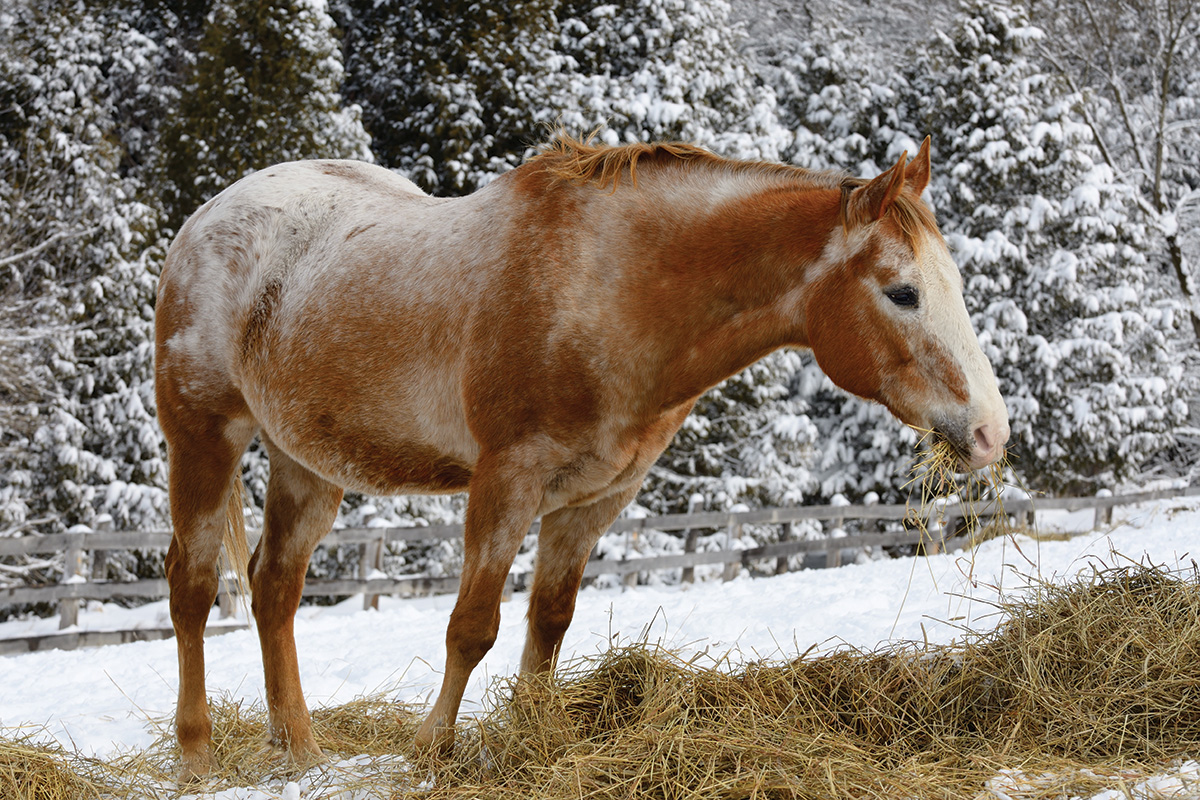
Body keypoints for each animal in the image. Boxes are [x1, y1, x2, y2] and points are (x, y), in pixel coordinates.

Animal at [154, 134, 1009, 779]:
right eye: (902, 292)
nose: (990, 432)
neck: (611, 291)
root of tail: (209, 217)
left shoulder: (594, 500)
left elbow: (549, 624)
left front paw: (532, 742)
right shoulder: (508, 480)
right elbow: (473, 627)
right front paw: (432, 751)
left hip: (309, 464)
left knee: (274, 589)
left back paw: (299, 751)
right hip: (204, 436)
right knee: (192, 590)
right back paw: (196, 755)